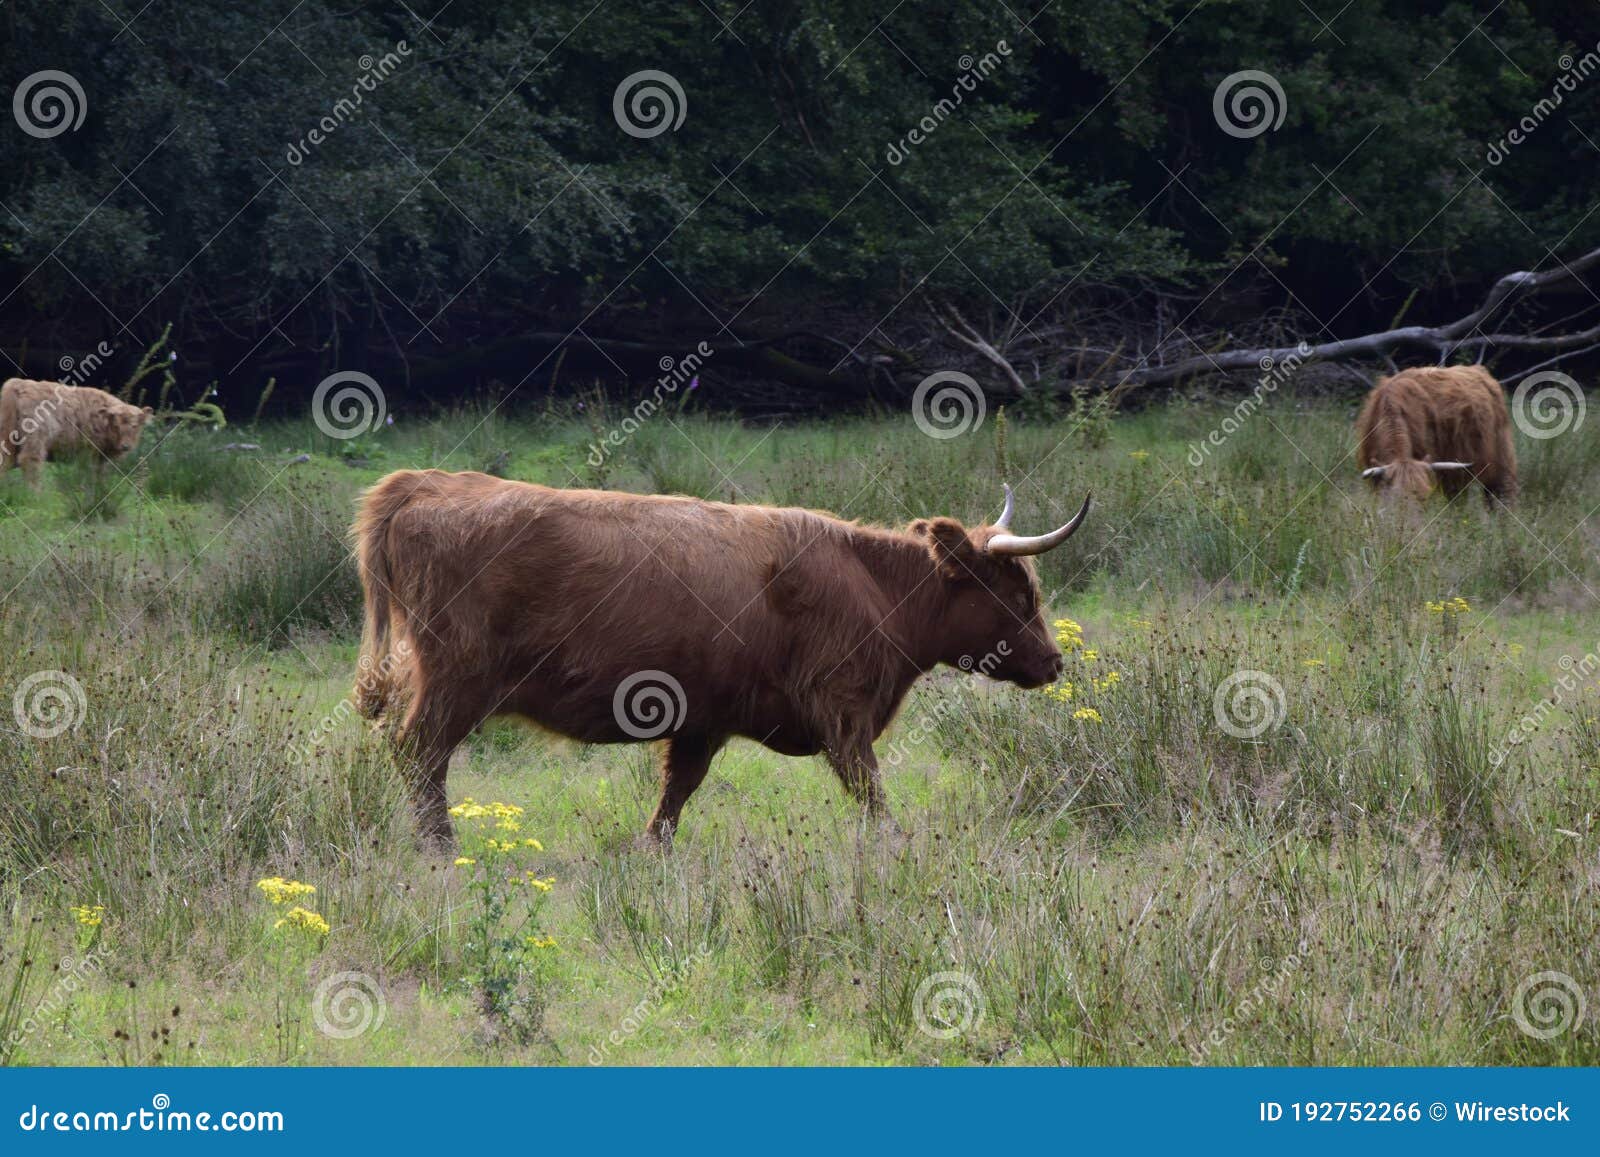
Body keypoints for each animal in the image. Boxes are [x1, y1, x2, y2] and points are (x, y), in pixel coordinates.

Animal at [0, 378, 154, 487]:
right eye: (116, 426)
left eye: (135, 426)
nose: (125, 446)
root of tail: (19, 384)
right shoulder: (89, 452)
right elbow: (89, 474)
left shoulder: (100, 457)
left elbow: (100, 476)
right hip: (36, 438)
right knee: (30, 461)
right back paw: (36, 494)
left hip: (7, 437)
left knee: (6, 461)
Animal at [351, 469, 1090, 847]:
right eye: (1020, 593)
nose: (1054, 662)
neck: (873, 584)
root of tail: (424, 482)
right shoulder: (843, 708)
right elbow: (871, 790)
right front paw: (897, 845)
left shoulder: (703, 719)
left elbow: (677, 791)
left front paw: (653, 850)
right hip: (455, 681)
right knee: (420, 753)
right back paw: (440, 846)